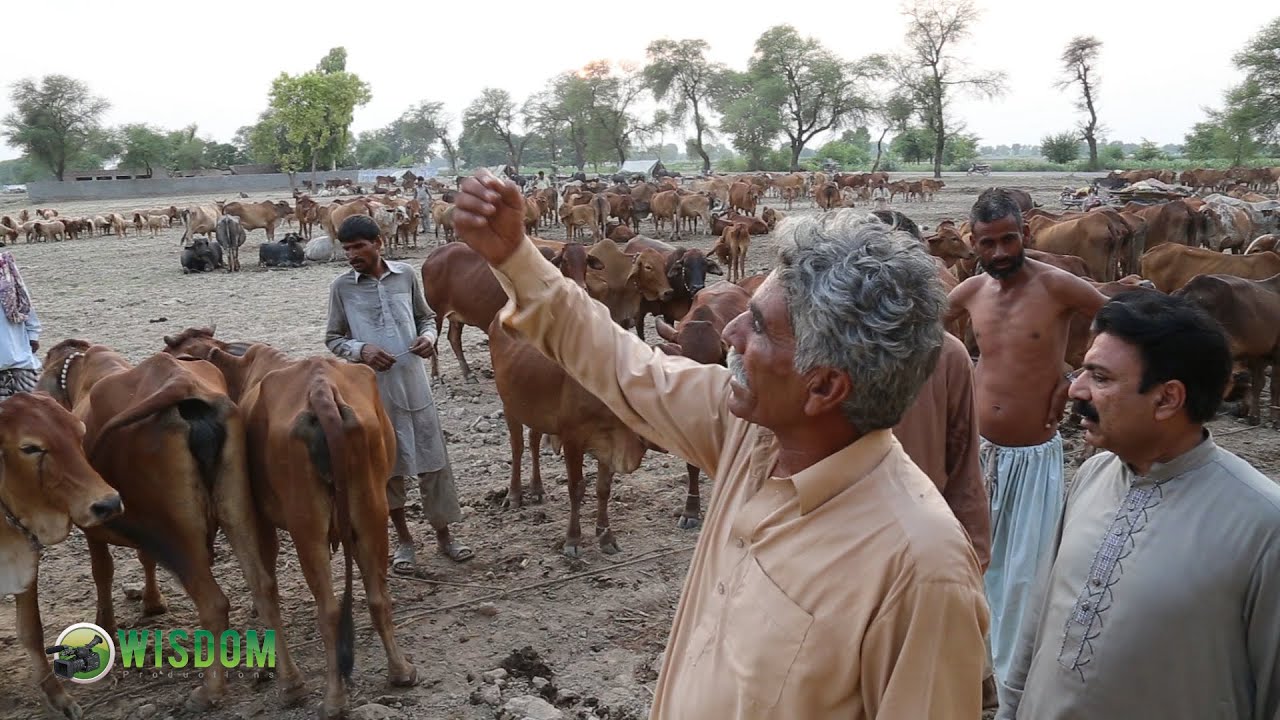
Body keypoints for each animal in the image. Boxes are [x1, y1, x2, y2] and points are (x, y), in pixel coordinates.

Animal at [3, 393, 124, 720]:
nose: (108, 503)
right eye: (29, 448)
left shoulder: (26, 568)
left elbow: (32, 631)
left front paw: (58, 697)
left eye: (79, 432)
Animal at [36, 341, 302, 711]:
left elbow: (102, 571)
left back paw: (210, 691)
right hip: (236, 508)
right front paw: (152, 602)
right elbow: (144, 559)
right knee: (263, 587)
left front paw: (106, 624)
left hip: (178, 534)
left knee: (213, 603)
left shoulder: (96, 525)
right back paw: (290, 684)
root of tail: (181, 385)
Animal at [158, 331, 418, 718]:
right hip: (370, 509)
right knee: (377, 596)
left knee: (328, 610)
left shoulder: (261, 519)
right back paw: (400, 671)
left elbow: (265, 576)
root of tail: (321, 388)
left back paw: (333, 699)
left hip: (306, 526)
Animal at [488, 314, 648, 556]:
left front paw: (606, 536)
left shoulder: (608, 444)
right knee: (517, 447)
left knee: (534, 441)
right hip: (510, 405)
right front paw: (572, 540)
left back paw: (537, 489)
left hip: (536, 412)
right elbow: (576, 488)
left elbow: (603, 489)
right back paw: (514, 495)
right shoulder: (573, 440)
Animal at [1173, 274, 1280, 426]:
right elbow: (1274, 385)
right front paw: (1274, 418)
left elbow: (1258, 384)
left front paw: (1254, 417)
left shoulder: (1258, 353)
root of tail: (1187, 290)